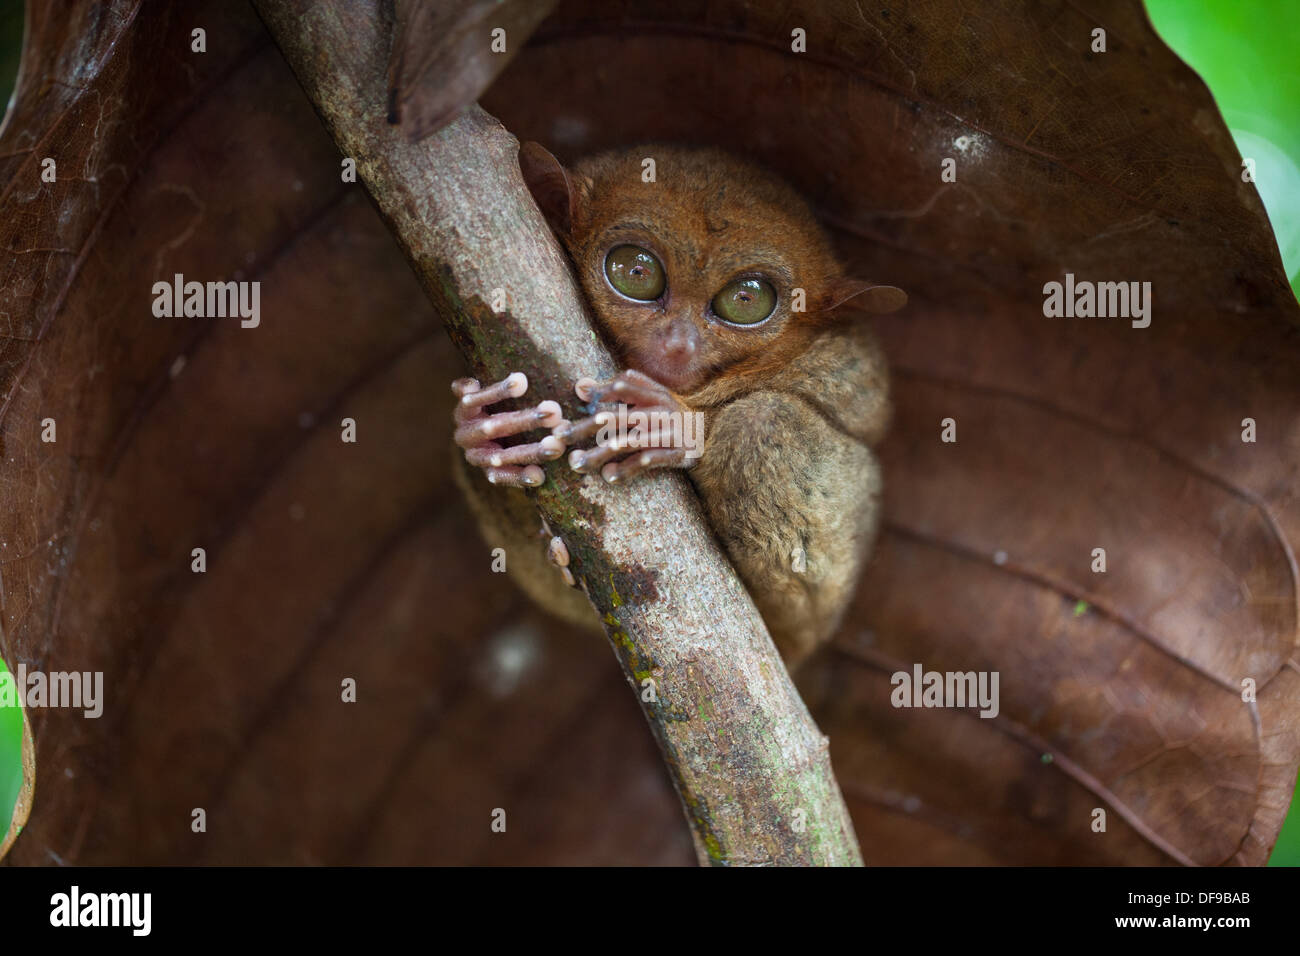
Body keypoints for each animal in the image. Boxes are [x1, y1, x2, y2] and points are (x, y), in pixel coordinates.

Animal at [450, 143, 906, 668]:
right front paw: (486, 432)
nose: (677, 345)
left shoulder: (849, 356)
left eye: (745, 300)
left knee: (761, 422)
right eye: (636, 271)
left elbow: (860, 392)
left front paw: (674, 426)